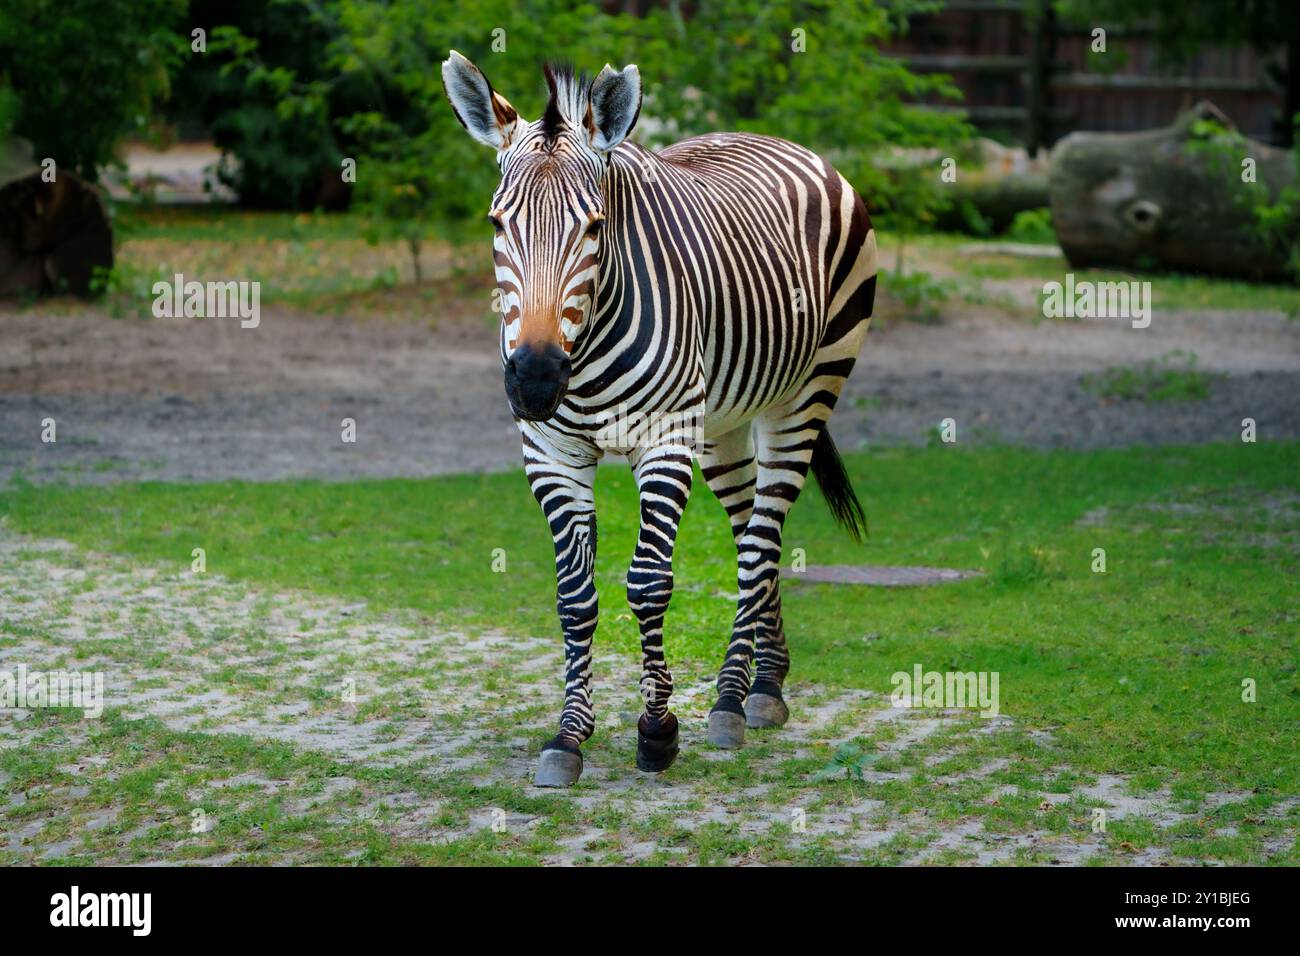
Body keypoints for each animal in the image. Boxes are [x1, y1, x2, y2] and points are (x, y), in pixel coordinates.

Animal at [442, 51, 878, 786]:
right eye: (498, 224)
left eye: (594, 227)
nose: (534, 380)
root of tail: (781, 141)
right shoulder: (551, 450)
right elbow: (575, 595)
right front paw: (570, 736)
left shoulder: (666, 441)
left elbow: (648, 584)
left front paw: (657, 729)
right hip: (726, 422)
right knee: (750, 532)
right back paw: (767, 682)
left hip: (807, 393)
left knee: (761, 542)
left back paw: (730, 702)